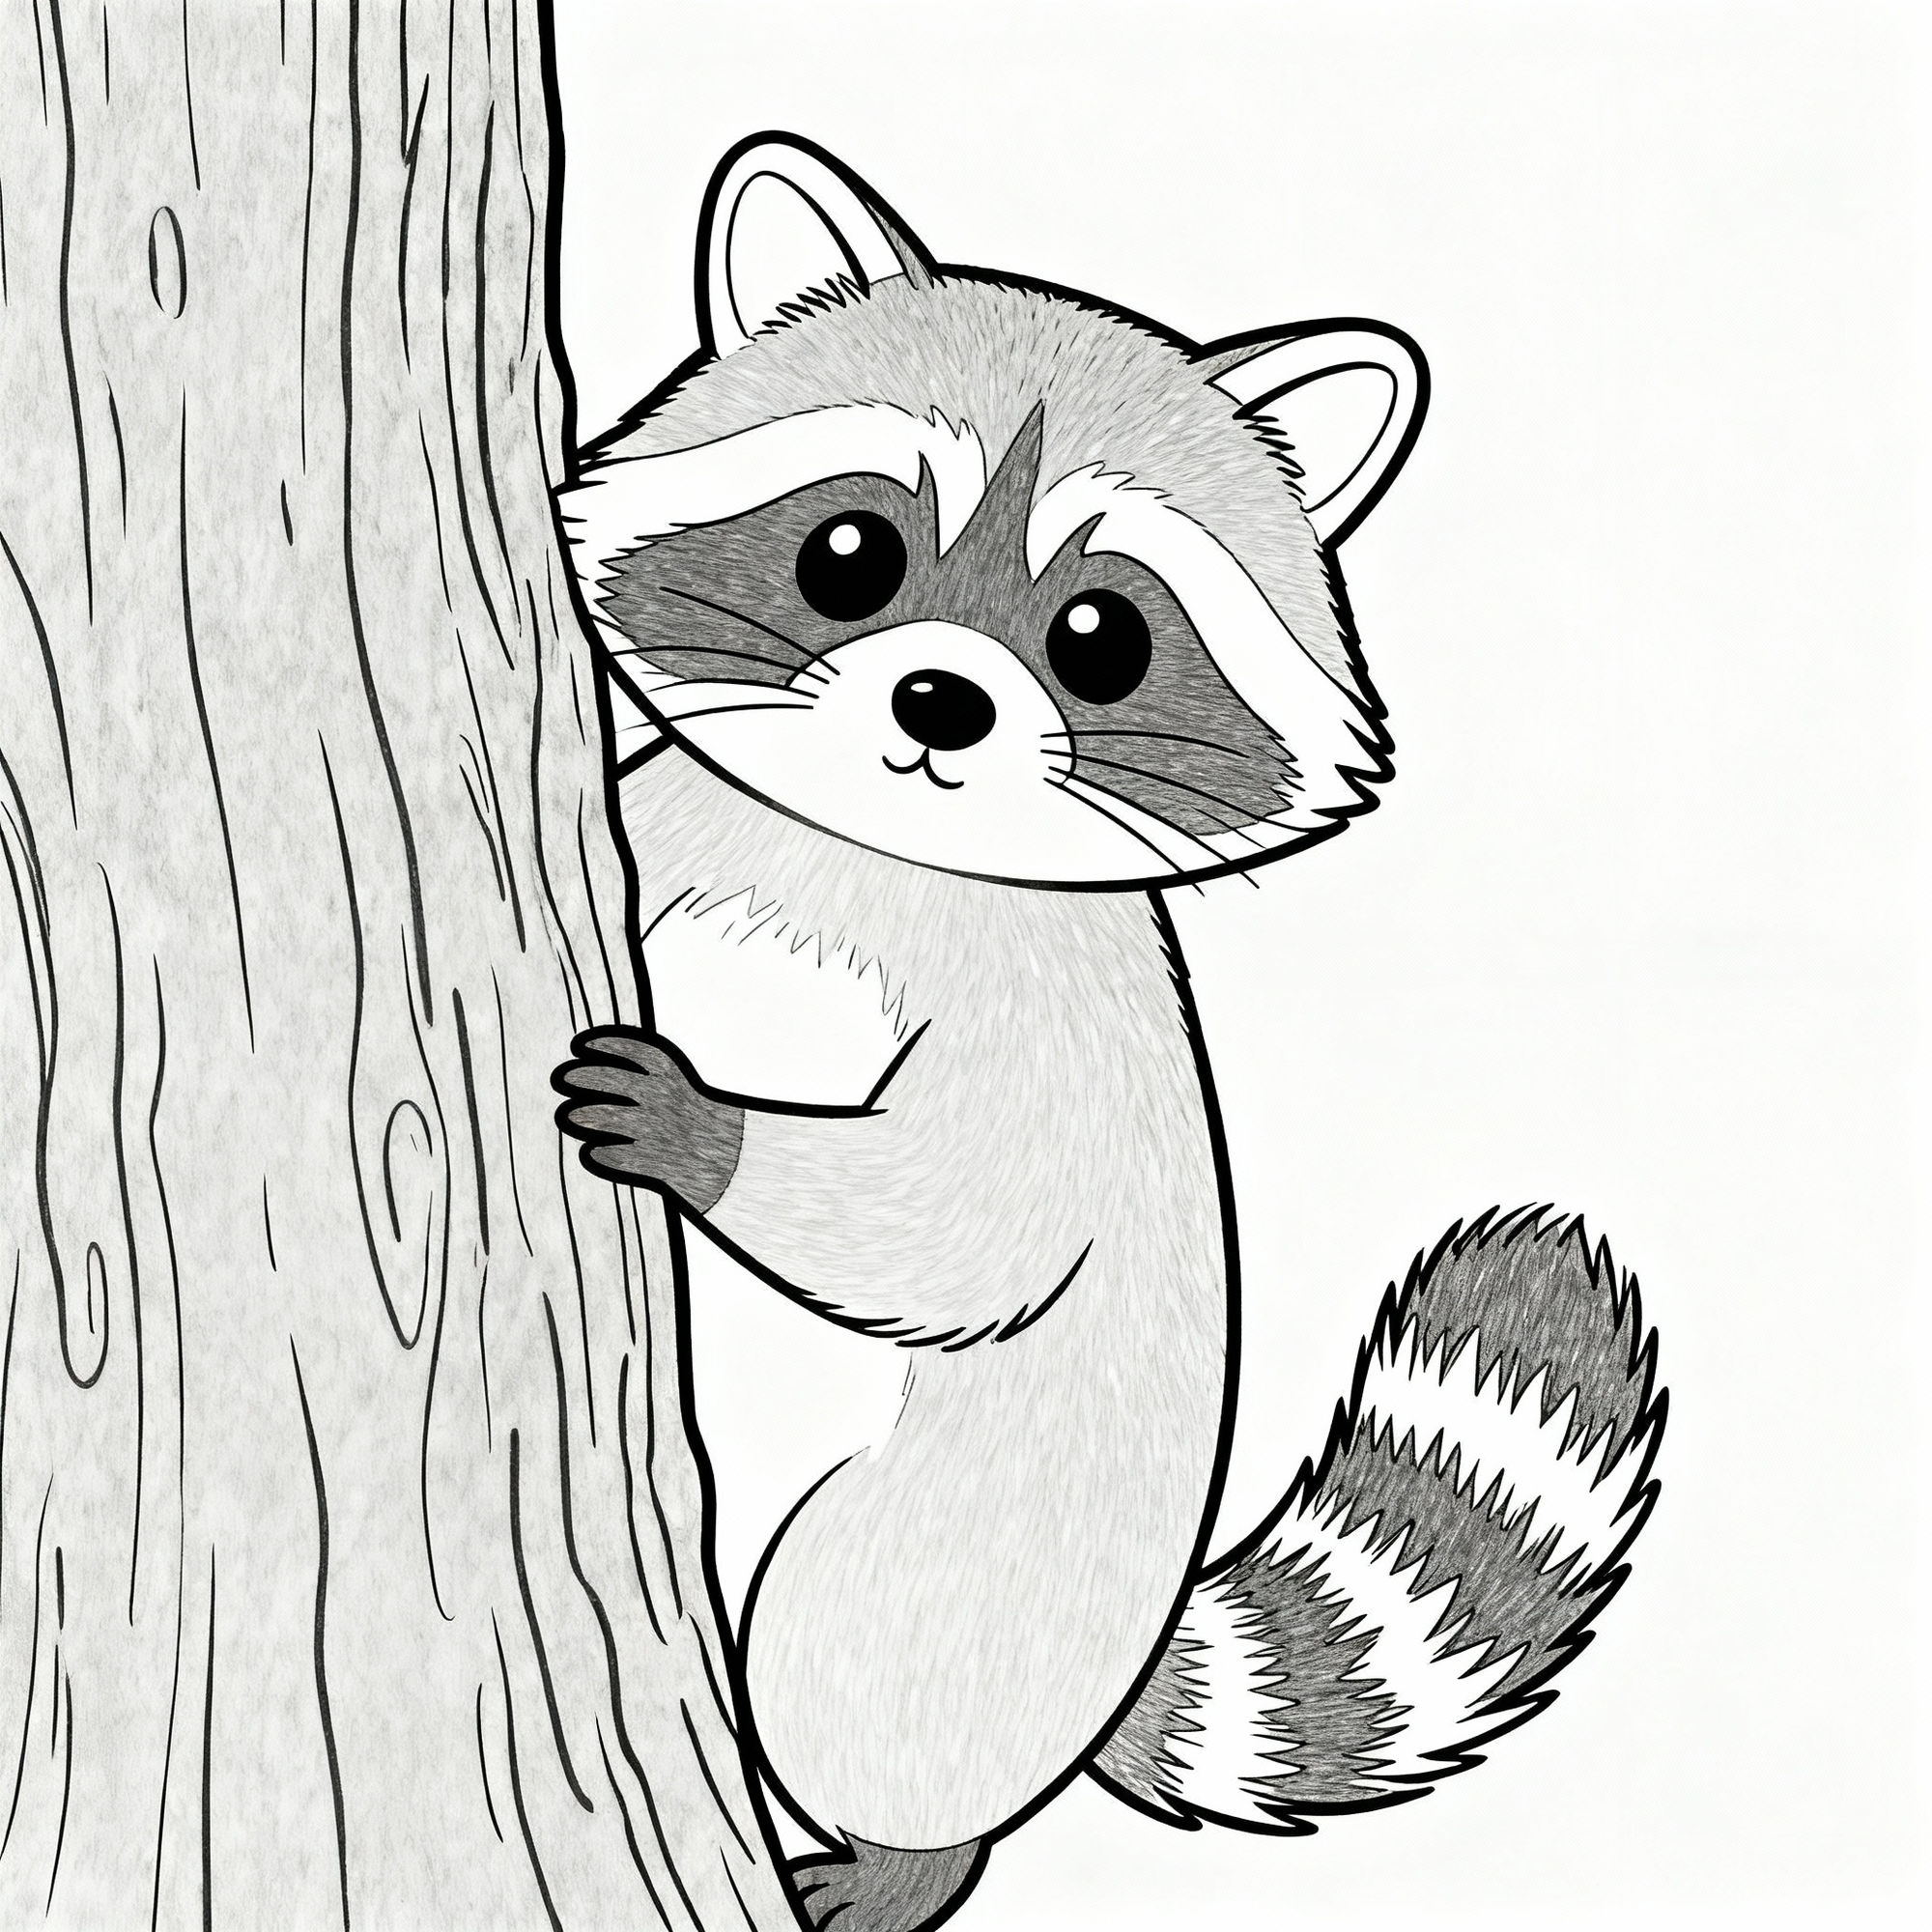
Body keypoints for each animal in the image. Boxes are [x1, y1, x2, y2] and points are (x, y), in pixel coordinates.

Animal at [554, 136, 1664, 1932]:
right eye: (850, 555)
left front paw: (708, 1132)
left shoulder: (1071, 1027)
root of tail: (1117, 1668)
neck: (866, 843)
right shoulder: (668, 838)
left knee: (852, 1661)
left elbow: (975, 1219)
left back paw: (913, 1857)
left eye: (1099, 636)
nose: (940, 706)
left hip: (969, 1559)